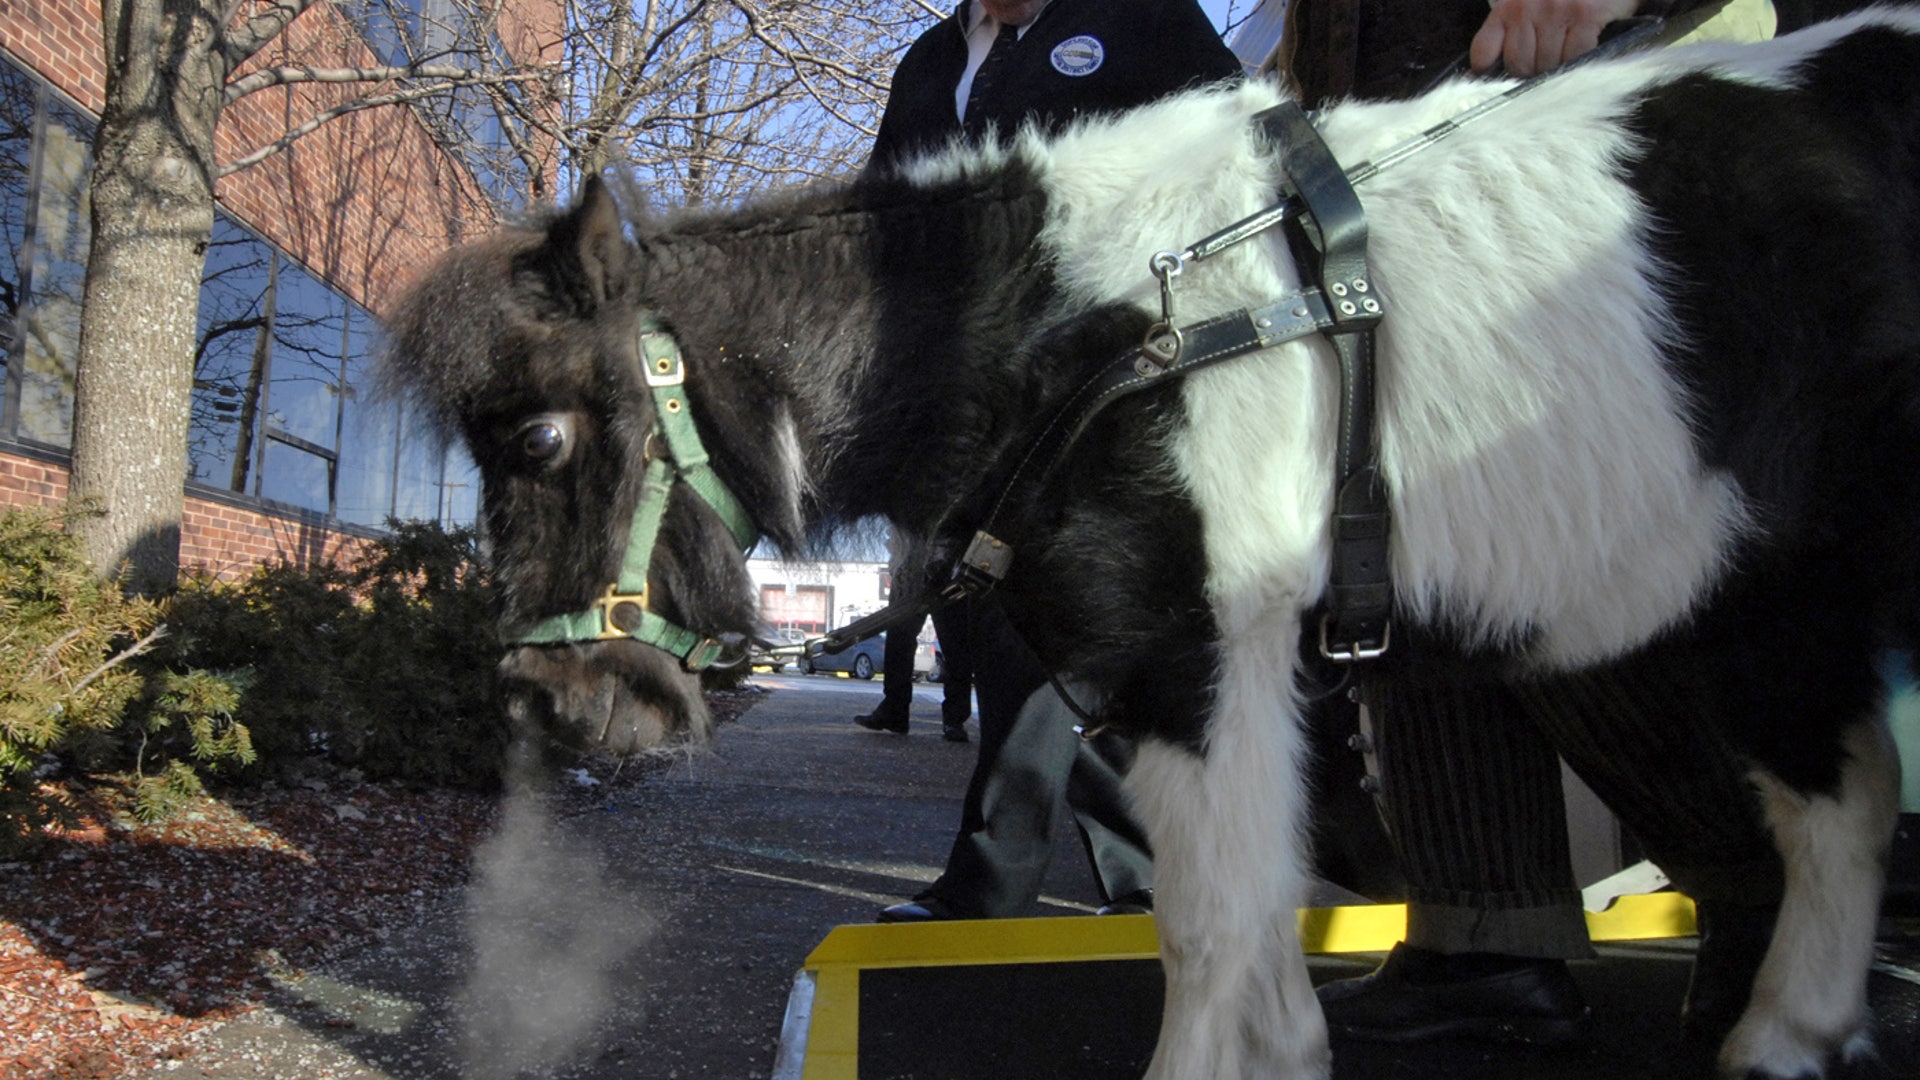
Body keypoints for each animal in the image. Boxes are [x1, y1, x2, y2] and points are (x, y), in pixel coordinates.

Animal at [383, 11, 1920, 1079]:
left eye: (538, 438)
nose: (545, 701)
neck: (1103, 324)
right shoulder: (1151, 670)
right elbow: (1230, 932)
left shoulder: (1205, 655)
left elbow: (1214, 923)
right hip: (1771, 599)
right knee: (1841, 799)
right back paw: (1783, 1031)